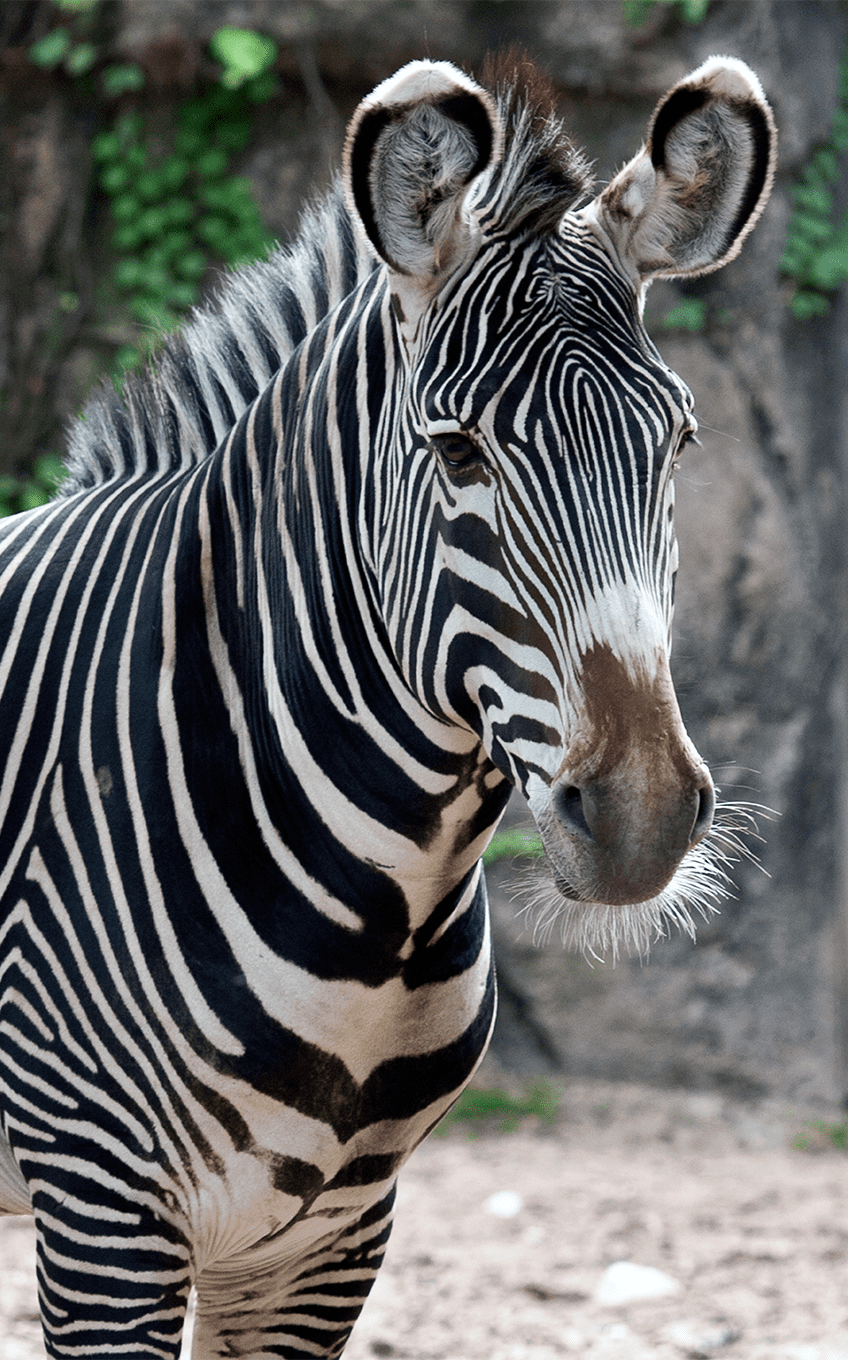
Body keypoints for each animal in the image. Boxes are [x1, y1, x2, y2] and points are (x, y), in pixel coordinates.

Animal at [0, 51, 774, 1359]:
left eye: (675, 444)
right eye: (456, 454)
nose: (641, 818)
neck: (381, 920)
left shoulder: (327, 1236)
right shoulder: (104, 1208)